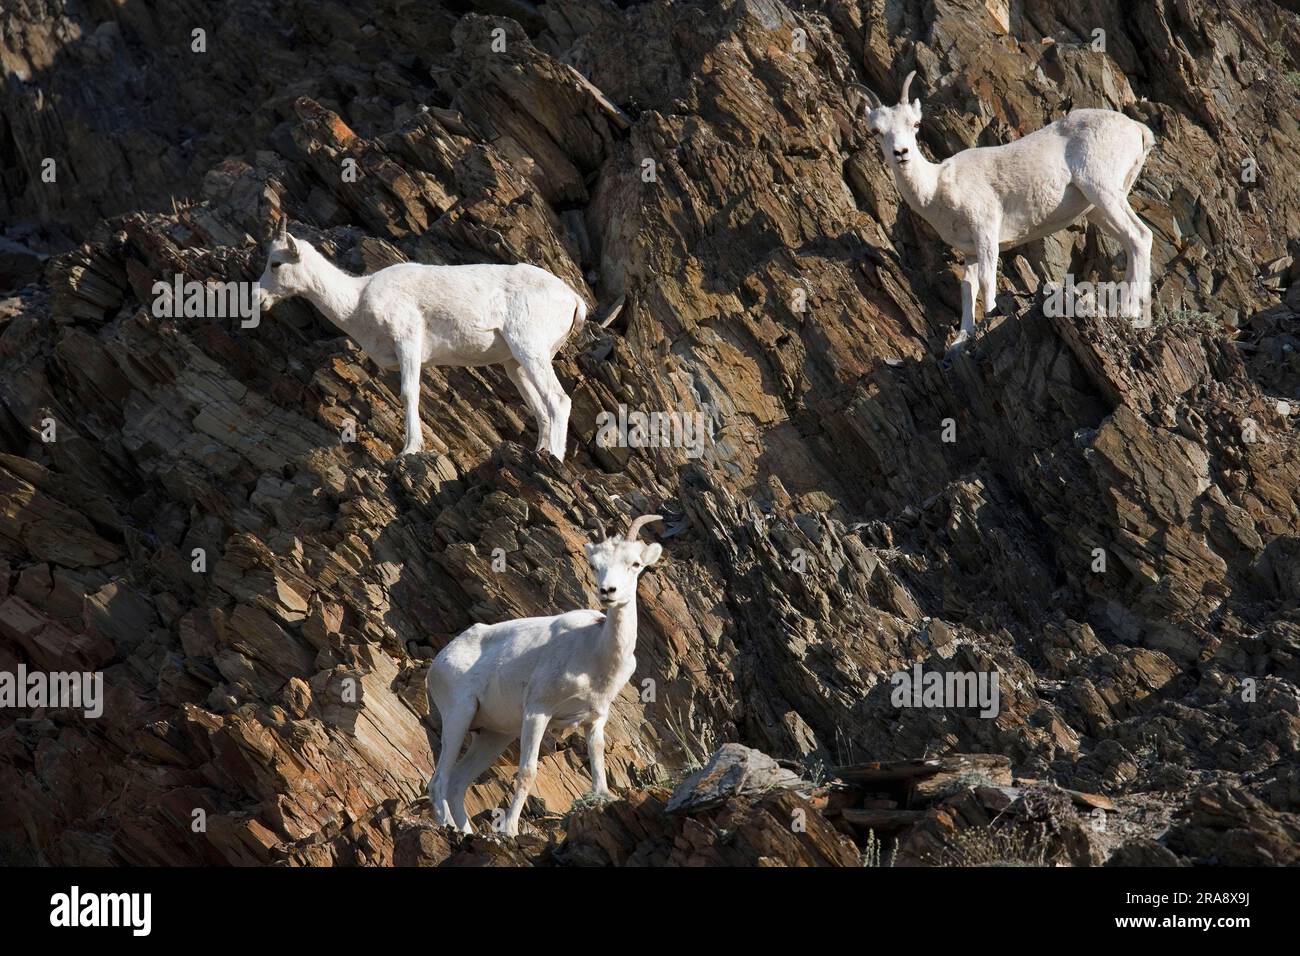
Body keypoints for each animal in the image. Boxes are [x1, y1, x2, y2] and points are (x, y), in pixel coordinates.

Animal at [256, 218, 586, 459]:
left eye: (276, 263)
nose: (258, 298)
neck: (357, 300)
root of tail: (573, 300)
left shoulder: (408, 343)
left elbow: (409, 394)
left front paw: (409, 450)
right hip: (514, 364)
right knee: (540, 409)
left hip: (531, 351)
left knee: (558, 400)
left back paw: (553, 457)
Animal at [424, 514, 663, 837]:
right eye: (595, 565)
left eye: (635, 563)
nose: (608, 592)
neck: (594, 653)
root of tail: (440, 661)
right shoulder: (538, 712)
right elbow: (527, 772)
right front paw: (509, 830)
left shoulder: (594, 720)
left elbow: (598, 771)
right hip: (458, 716)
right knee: (439, 781)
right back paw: (451, 828)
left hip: (494, 736)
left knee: (458, 782)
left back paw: (466, 832)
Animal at [852, 71, 1155, 353]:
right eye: (876, 131)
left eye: (914, 124)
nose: (901, 152)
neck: (937, 187)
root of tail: (1137, 129)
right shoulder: (969, 251)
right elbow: (968, 288)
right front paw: (961, 341)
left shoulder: (986, 232)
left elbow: (987, 280)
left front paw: (990, 316)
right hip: (1097, 208)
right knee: (1130, 242)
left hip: (1102, 191)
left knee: (1139, 236)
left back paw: (1128, 311)